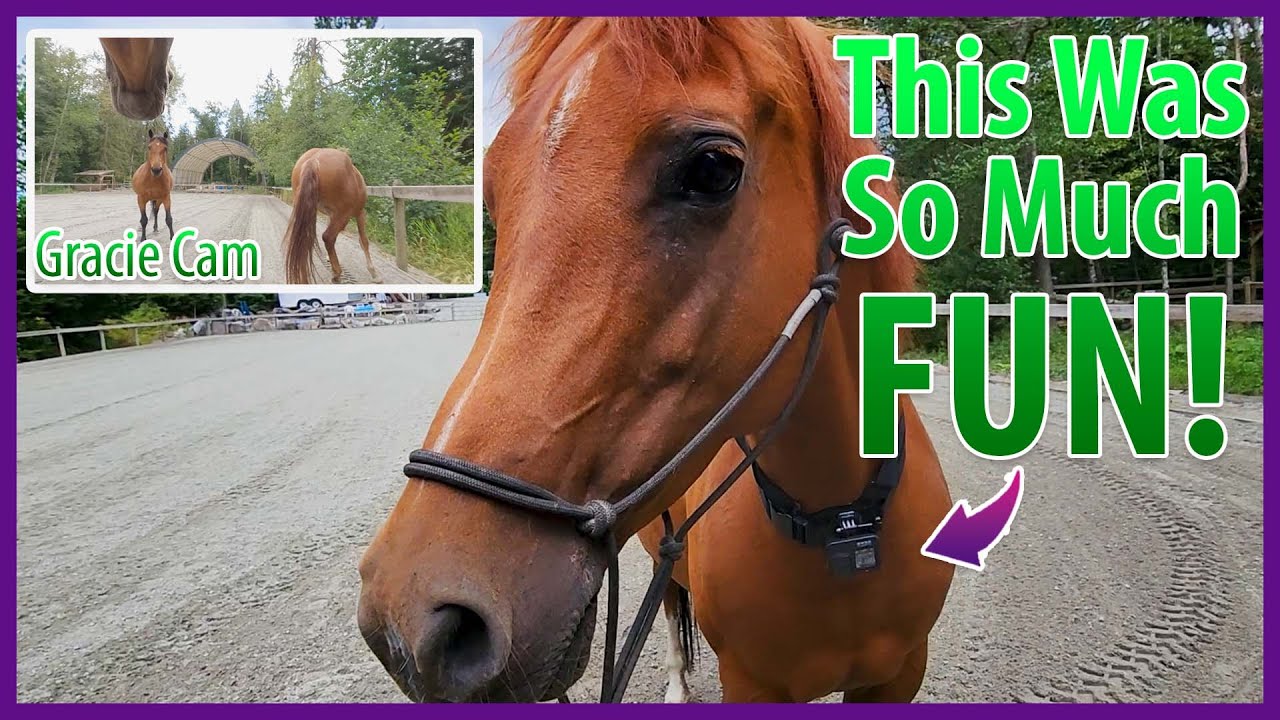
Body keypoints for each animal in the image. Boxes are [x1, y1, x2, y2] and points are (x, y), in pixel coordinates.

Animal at [282, 148, 381, 284]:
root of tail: (313, 160)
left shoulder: (332, 216)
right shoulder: (360, 214)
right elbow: (364, 241)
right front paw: (374, 273)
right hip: (343, 216)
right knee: (328, 237)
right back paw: (337, 273)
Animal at [356, 17, 954, 703]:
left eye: (713, 168)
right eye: (496, 189)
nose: (409, 616)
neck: (842, 523)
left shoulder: (902, 673)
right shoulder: (751, 681)